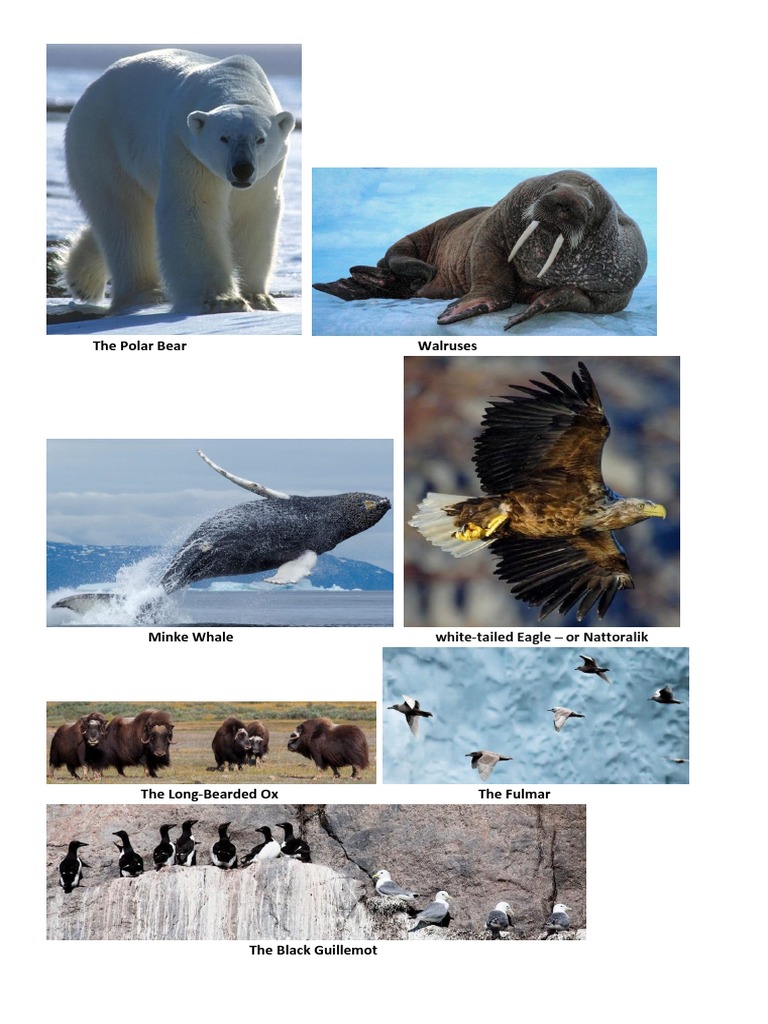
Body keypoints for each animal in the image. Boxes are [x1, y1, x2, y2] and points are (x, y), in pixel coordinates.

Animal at [57, 49, 295, 315]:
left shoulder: (266, 174)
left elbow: (252, 214)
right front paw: (222, 300)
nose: (242, 169)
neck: (236, 81)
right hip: (103, 143)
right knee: (124, 216)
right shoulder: (185, 147)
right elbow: (192, 209)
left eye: (260, 139)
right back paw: (145, 293)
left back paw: (82, 281)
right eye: (223, 138)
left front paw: (258, 297)